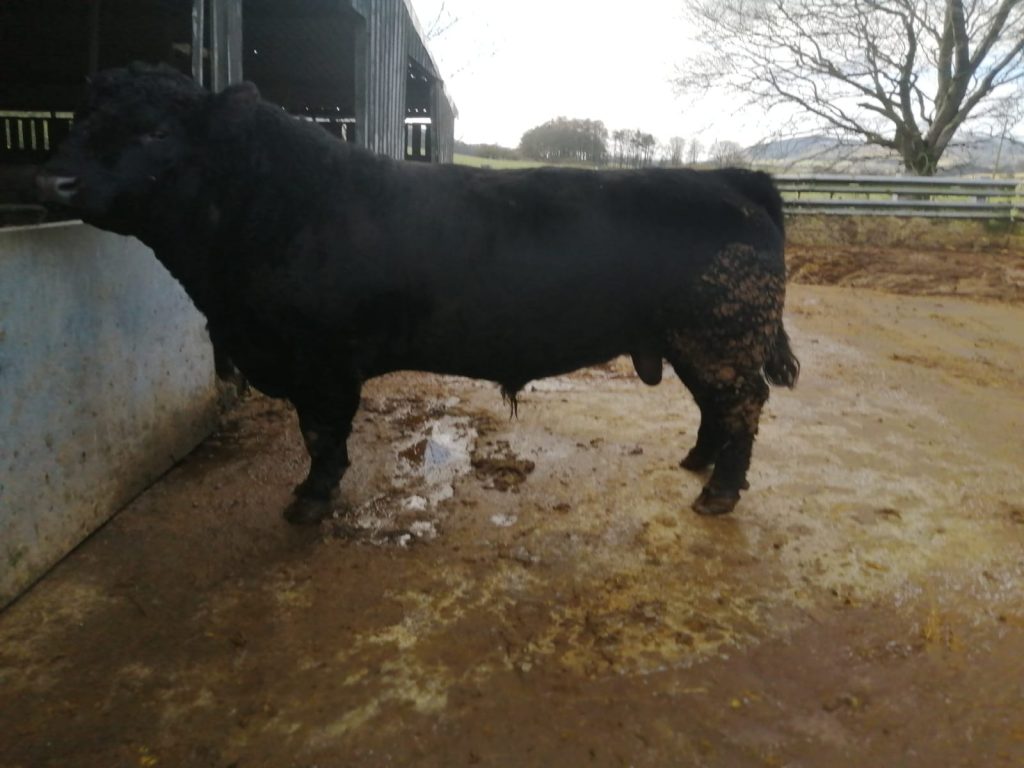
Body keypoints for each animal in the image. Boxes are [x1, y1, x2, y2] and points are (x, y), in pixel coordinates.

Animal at [37, 64, 799, 525]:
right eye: (74, 120)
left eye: (156, 129)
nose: (53, 182)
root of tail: (728, 180)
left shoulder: (321, 360)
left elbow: (322, 436)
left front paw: (309, 501)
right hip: (693, 340)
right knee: (717, 406)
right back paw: (697, 463)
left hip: (722, 334)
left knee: (743, 406)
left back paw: (719, 492)